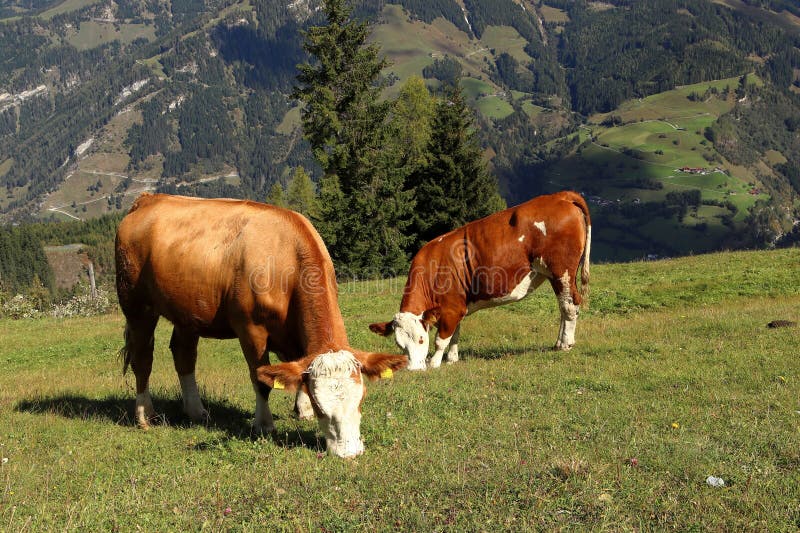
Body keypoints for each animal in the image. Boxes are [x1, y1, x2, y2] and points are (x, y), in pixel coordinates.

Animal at [115, 193, 407, 458]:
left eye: (362, 397)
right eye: (321, 406)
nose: (349, 453)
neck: (286, 261)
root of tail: (148, 198)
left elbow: (296, 366)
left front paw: (301, 410)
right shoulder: (251, 329)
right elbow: (261, 379)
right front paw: (265, 424)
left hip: (188, 311)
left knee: (183, 354)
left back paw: (196, 411)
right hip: (137, 306)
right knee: (143, 358)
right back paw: (145, 415)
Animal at [369, 191, 591, 371]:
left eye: (422, 339)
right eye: (400, 345)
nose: (414, 368)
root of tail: (560, 196)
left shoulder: (451, 308)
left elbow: (442, 339)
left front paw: (435, 362)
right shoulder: (456, 307)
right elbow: (455, 333)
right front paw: (452, 358)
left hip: (561, 270)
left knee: (569, 305)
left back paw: (565, 344)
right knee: (564, 307)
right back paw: (558, 343)